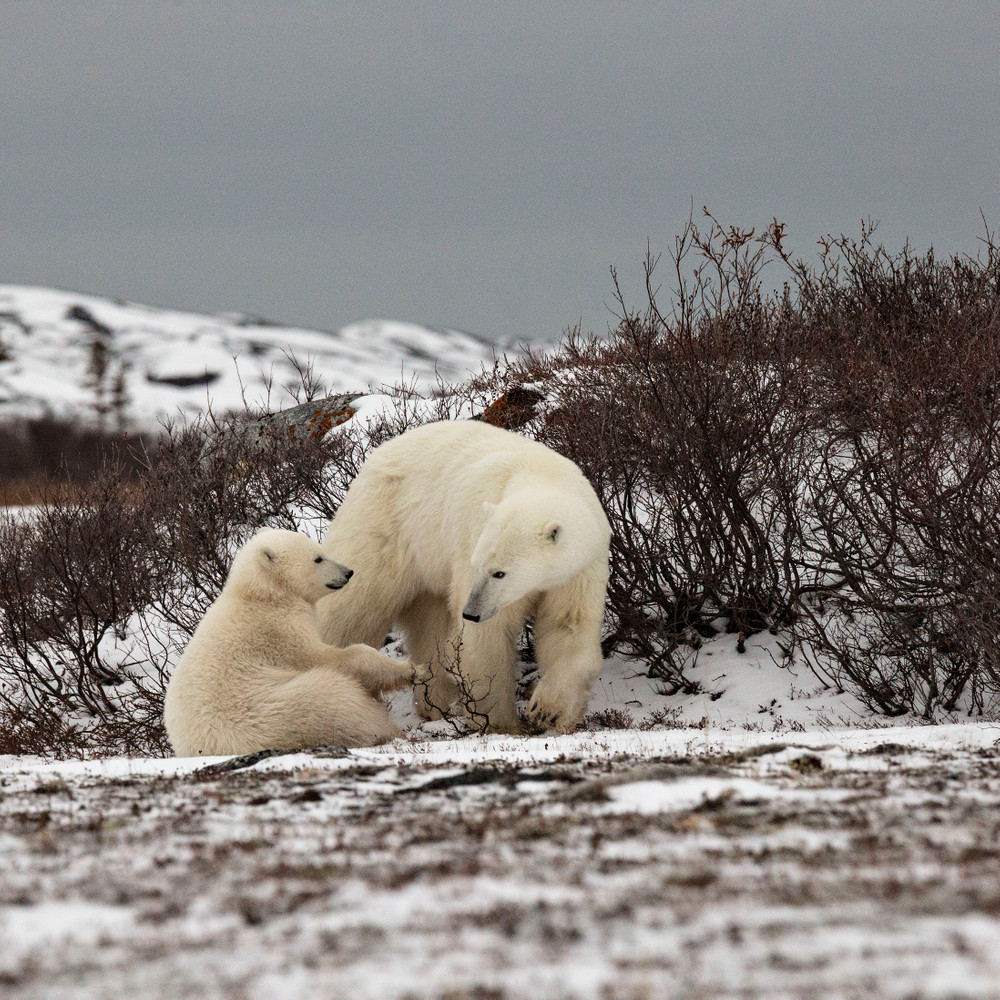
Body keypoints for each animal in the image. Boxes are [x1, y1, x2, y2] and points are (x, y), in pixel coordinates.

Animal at [163, 527, 414, 756]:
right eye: (317, 558)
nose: (348, 572)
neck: (264, 594)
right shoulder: (279, 632)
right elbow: (329, 658)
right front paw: (409, 670)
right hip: (276, 713)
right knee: (335, 700)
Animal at [317, 420, 611, 734]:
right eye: (478, 564)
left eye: (500, 572)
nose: (471, 612)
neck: (542, 475)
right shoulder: (472, 538)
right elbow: (485, 639)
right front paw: (500, 723)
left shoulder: (580, 569)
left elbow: (568, 626)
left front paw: (548, 711)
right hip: (387, 524)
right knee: (352, 607)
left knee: (430, 626)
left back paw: (437, 703)